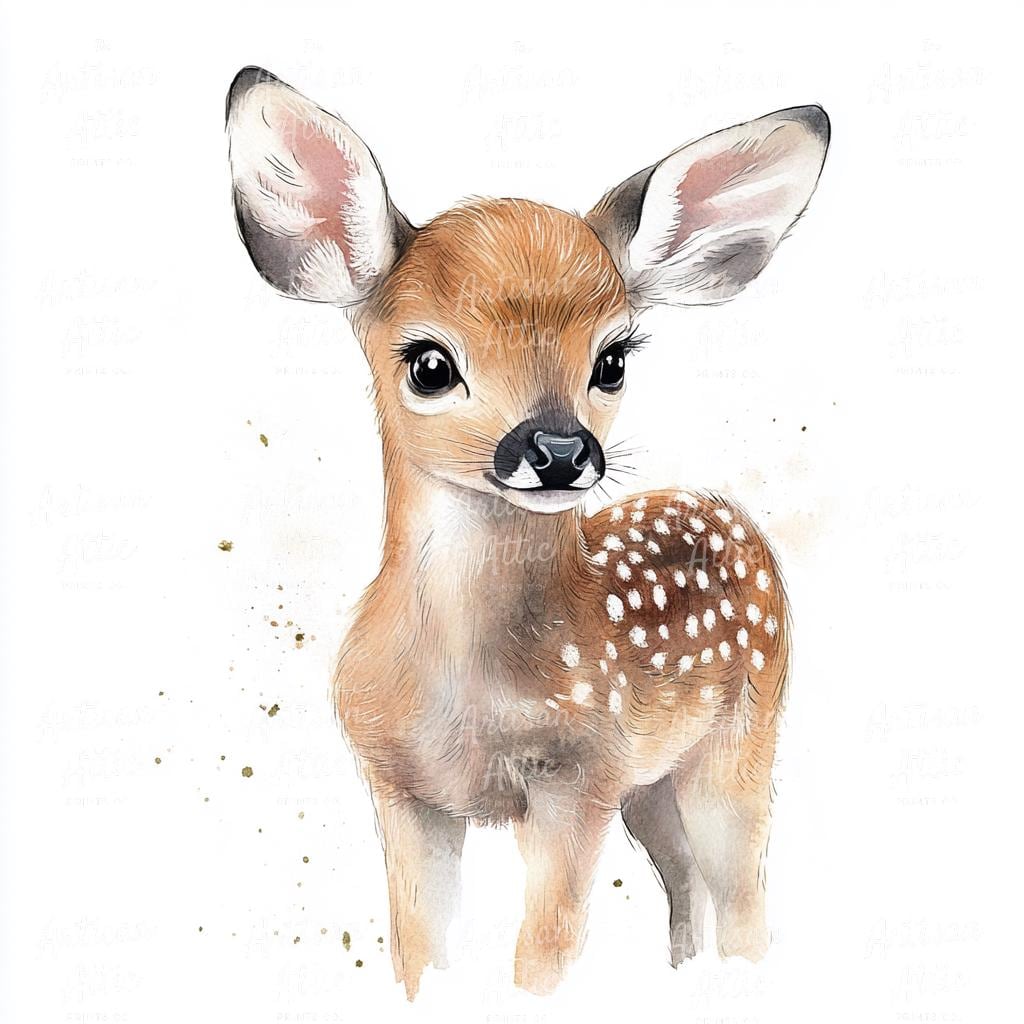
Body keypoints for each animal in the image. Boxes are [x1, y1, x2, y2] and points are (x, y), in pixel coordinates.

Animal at [225, 66, 829, 999]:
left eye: (612, 360)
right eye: (429, 364)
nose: (559, 449)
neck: (465, 693)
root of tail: (731, 515)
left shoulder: (576, 773)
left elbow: (543, 955)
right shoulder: (398, 784)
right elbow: (419, 951)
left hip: (737, 742)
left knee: (743, 897)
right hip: (650, 784)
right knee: (686, 883)